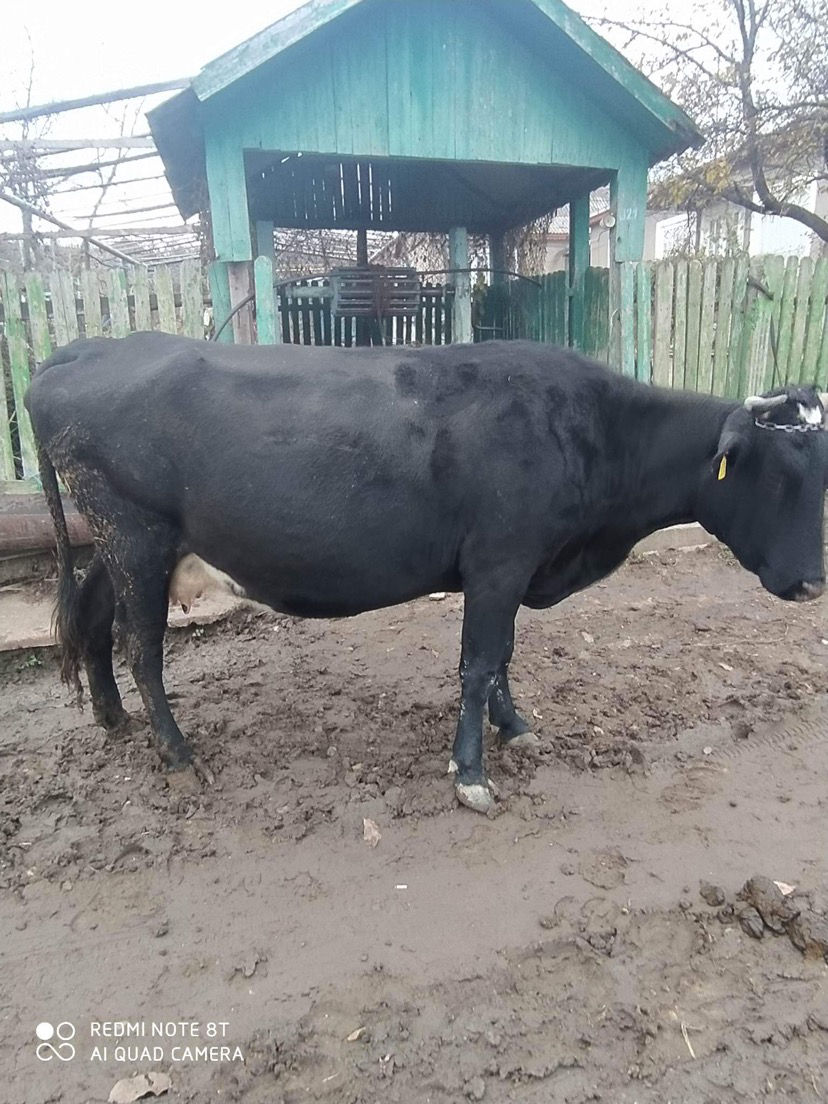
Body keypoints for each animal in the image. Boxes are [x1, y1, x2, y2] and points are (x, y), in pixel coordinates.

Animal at [25, 333, 827, 813]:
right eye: (778, 474)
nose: (814, 582)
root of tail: (88, 349)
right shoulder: (500, 559)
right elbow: (478, 661)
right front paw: (471, 773)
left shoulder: (512, 566)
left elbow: (502, 657)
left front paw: (516, 729)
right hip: (136, 532)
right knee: (142, 648)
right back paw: (177, 754)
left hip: (119, 542)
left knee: (92, 617)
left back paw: (113, 718)